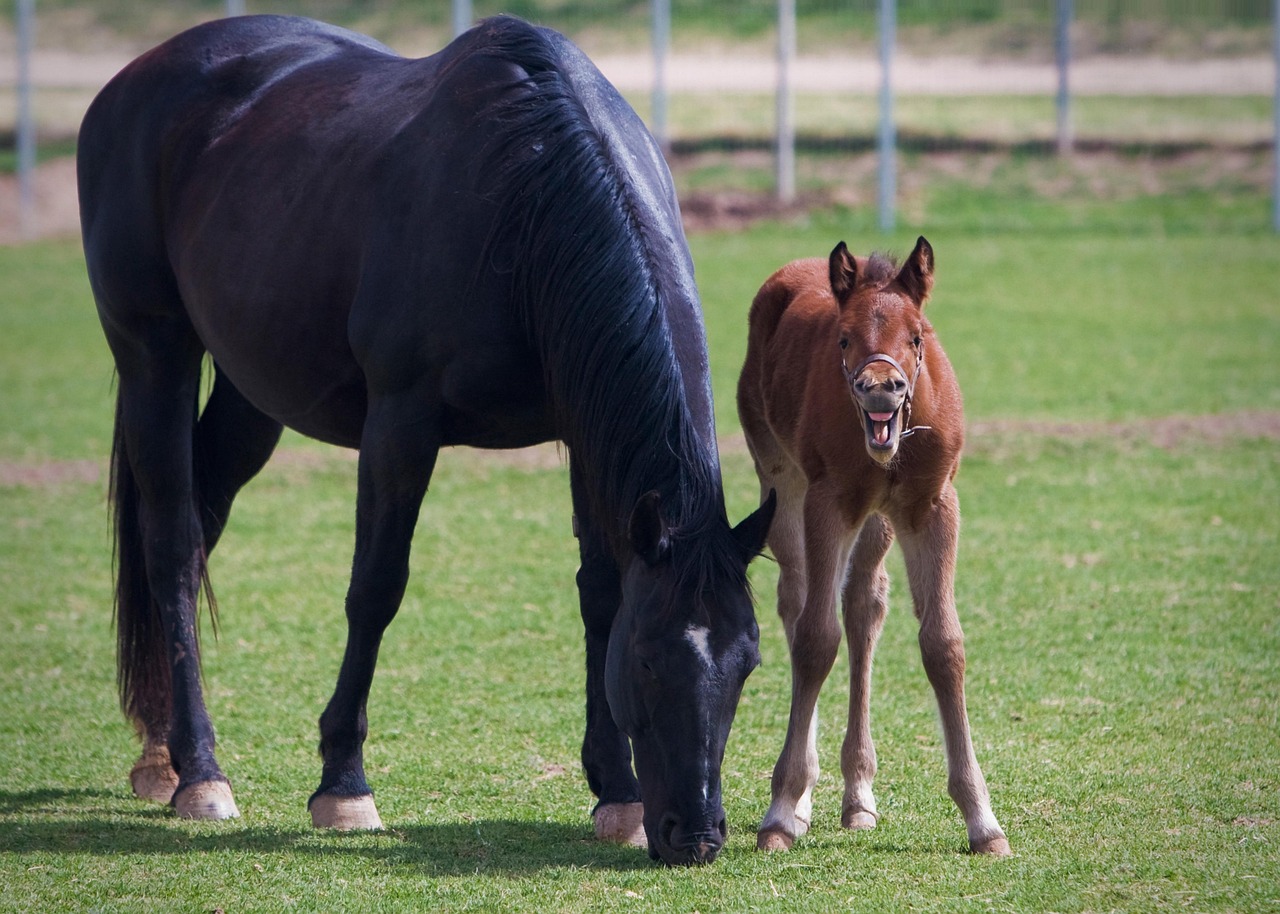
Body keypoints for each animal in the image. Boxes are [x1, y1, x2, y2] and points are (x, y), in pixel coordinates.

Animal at [77, 14, 775, 866]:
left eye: (748, 663)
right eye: (647, 658)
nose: (697, 834)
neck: (523, 198)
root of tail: (133, 80)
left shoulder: (586, 432)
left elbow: (600, 591)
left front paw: (617, 791)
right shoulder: (399, 426)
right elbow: (376, 587)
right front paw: (343, 785)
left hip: (251, 394)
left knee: (196, 522)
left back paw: (159, 751)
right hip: (155, 353)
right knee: (173, 543)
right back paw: (201, 772)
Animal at [736, 238, 1010, 856]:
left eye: (917, 336)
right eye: (844, 338)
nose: (882, 388)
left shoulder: (933, 506)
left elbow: (943, 646)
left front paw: (982, 819)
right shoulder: (828, 502)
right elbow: (815, 640)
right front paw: (781, 810)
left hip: (879, 524)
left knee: (864, 604)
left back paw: (858, 794)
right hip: (781, 480)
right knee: (797, 601)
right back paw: (805, 797)